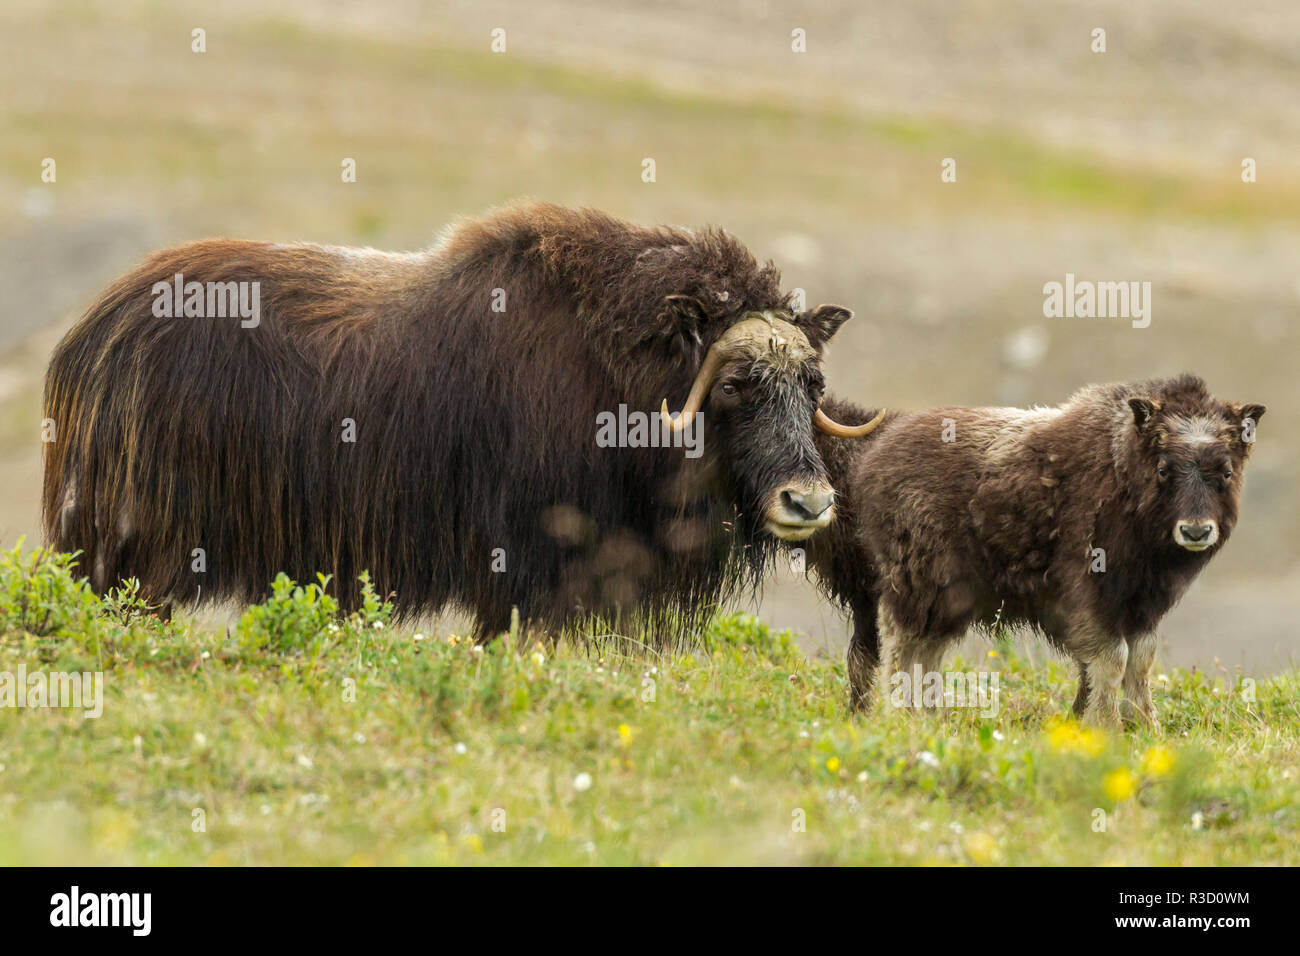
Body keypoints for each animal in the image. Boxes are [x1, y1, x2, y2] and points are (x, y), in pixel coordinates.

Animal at [42, 201, 882, 639]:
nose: (810, 503)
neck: (623, 376)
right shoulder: (523, 557)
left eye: (811, 382)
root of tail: (95, 326)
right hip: (147, 546)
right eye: (736, 383)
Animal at [807, 375, 1264, 729]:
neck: (1123, 479)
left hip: (947, 602)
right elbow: (1113, 659)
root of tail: (874, 460)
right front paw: (1109, 729)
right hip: (916, 584)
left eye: (1225, 471)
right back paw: (903, 716)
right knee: (901, 647)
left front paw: (1146, 729)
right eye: (1165, 468)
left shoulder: (1142, 604)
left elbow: (1141, 661)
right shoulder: (1089, 596)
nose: (1195, 530)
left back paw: (930, 718)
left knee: (927, 652)